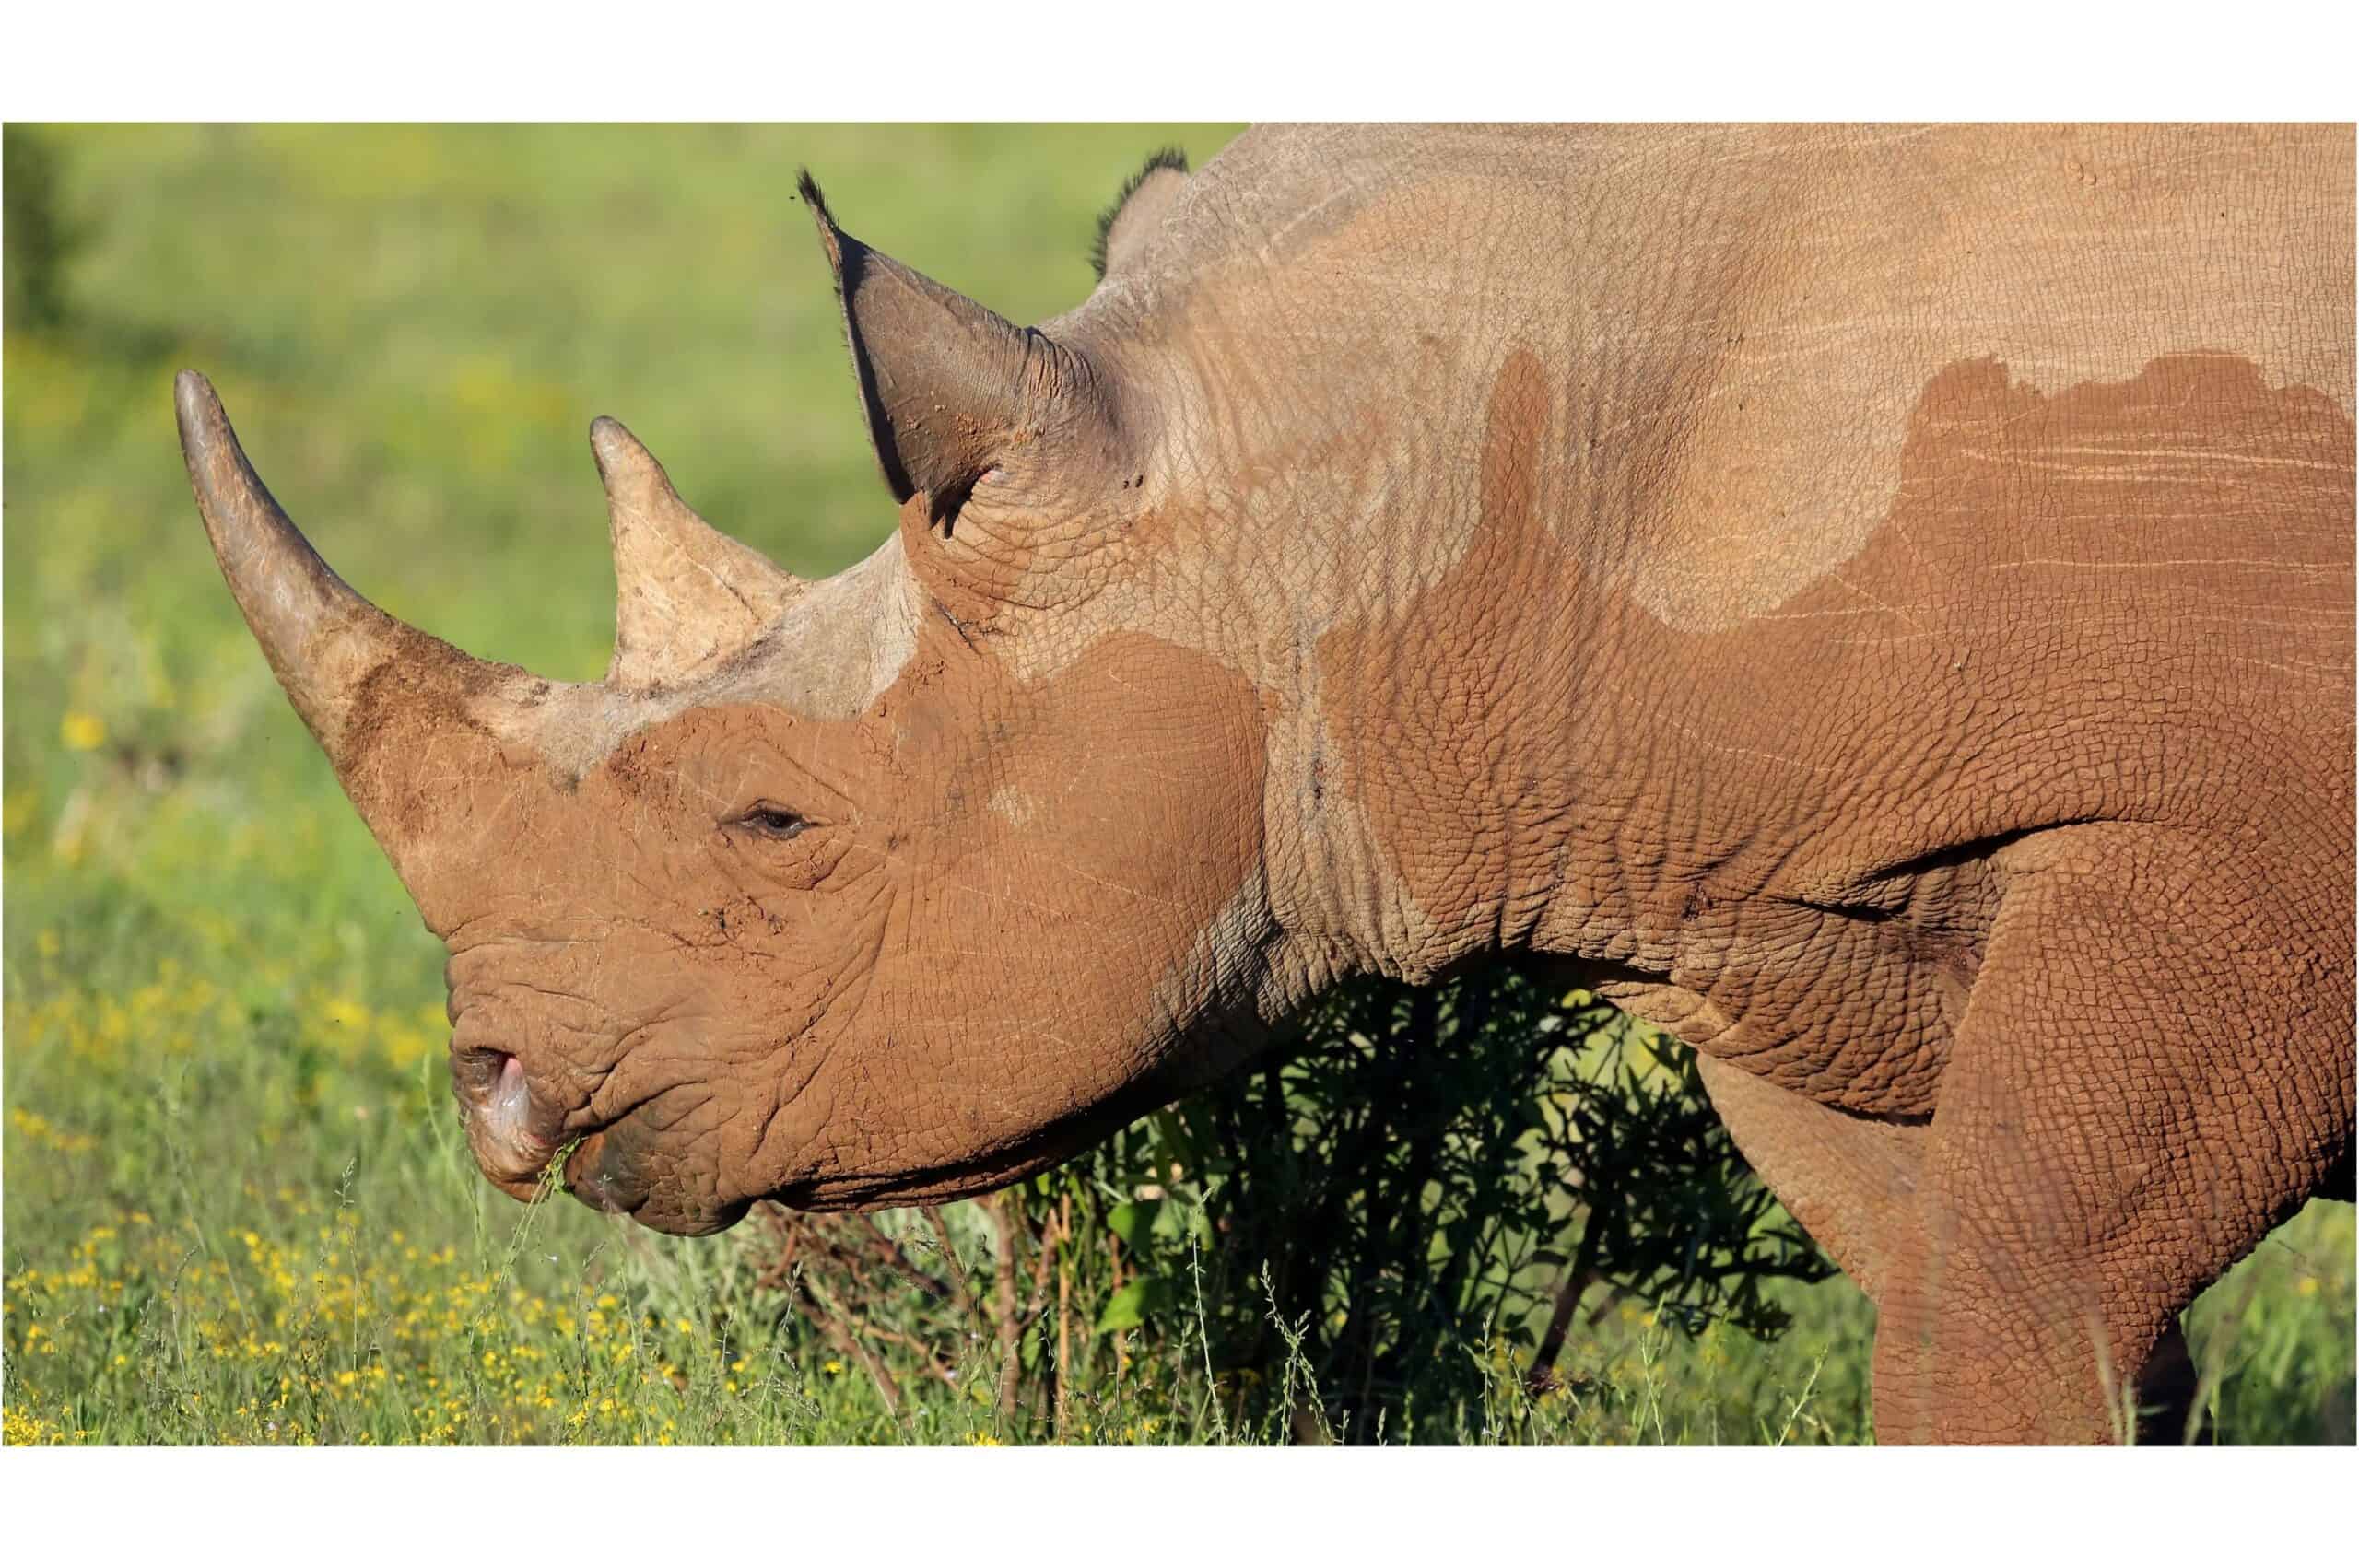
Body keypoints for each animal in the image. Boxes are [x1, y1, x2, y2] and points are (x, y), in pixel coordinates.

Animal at [175, 125, 2353, 1443]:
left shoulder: (2226, 850)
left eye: (774, 825)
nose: (490, 1085)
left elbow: (2011, 1295)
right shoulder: (1783, 904)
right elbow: (2011, 1309)